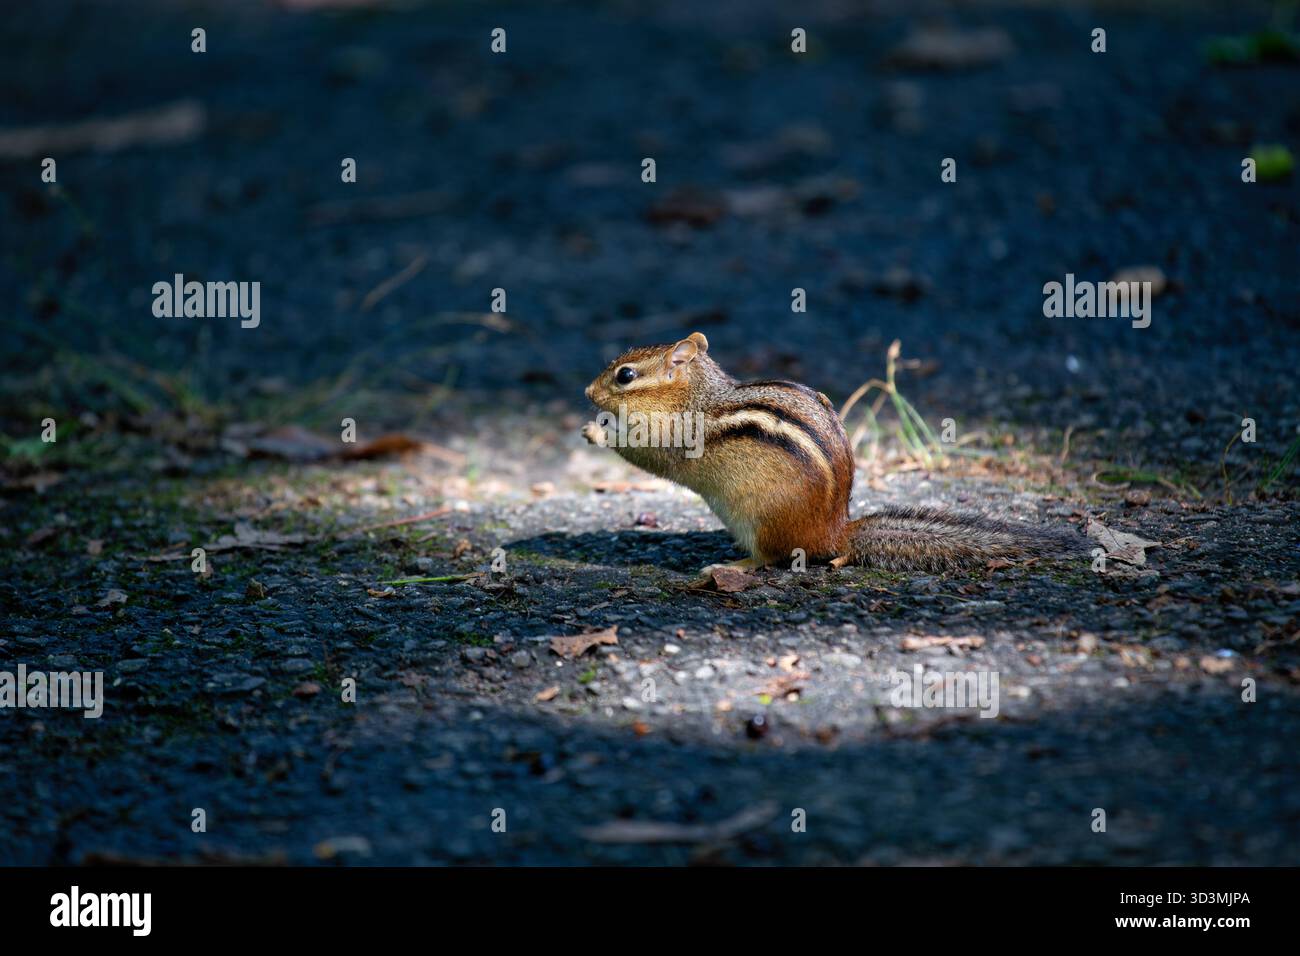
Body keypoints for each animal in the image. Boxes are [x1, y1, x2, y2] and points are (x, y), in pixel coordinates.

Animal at [583, 331, 1080, 577]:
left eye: (625, 375)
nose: (587, 393)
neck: (693, 397)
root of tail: (834, 532)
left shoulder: (672, 436)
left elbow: (646, 454)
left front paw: (596, 430)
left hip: (759, 520)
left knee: (769, 559)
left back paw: (730, 564)